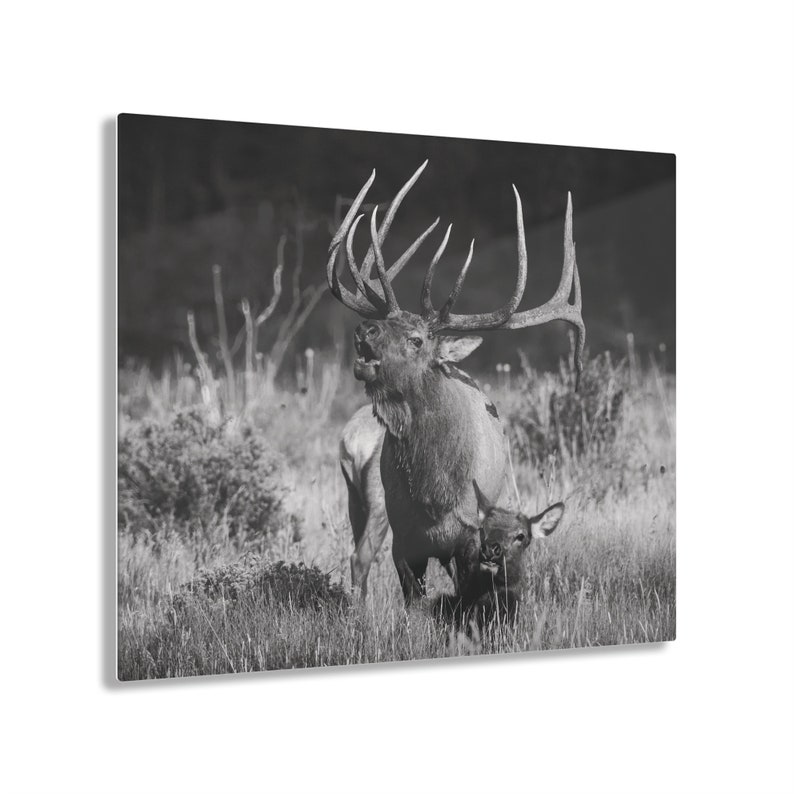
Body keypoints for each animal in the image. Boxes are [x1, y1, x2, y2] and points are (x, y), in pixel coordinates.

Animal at [327, 160, 584, 605]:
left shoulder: (466, 536)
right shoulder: (406, 538)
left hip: (357, 500)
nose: (365, 329)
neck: (435, 494)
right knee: (359, 558)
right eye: (388, 323)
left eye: (417, 339)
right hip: (372, 503)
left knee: (356, 557)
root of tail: (354, 439)